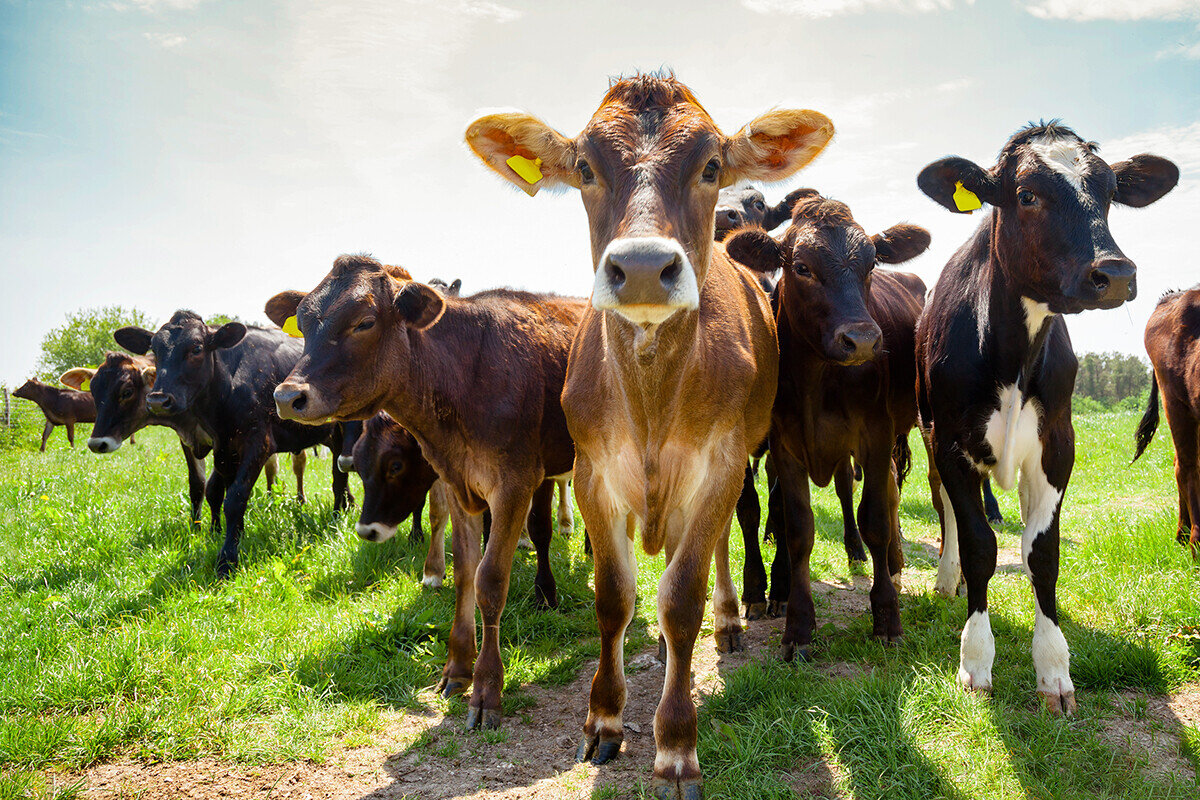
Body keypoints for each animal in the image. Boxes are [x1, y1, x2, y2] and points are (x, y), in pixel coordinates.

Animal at [113, 312, 351, 577]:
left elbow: (235, 498)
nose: (157, 400)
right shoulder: (224, 448)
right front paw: (237, 534)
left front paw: (227, 559)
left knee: (339, 477)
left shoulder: (259, 443)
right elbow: (224, 492)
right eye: (154, 349)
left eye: (196, 348)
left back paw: (336, 517)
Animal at [266, 259, 586, 732]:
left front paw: (487, 688)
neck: (464, 376)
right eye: (303, 325)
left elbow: (492, 580)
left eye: (364, 322)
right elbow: (465, 572)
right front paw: (457, 669)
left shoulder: (516, 483)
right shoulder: (457, 483)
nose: (288, 396)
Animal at [464, 73, 832, 797]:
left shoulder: (720, 466)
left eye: (712, 165)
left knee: (714, 554)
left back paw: (728, 619)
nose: (639, 268)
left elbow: (682, 597)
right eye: (584, 168)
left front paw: (675, 745)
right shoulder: (592, 473)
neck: (650, 396)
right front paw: (604, 720)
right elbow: (614, 598)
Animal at [725, 191, 930, 656]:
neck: (816, 381)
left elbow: (874, 517)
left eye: (871, 264)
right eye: (802, 267)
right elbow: (796, 528)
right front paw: (798, 626)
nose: (864, 341)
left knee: (892, 493)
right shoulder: (784, 446)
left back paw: (898, 565)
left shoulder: (875, 434)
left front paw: (886, 617)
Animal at [915, 121, 1177, 714]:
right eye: (1027, 194)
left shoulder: (1058, 444)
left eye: (1110, 193)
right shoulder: (952, 443)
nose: (1115, 272)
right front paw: (976, 660)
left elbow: (1042, 553)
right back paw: (947, 580)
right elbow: (981, 545)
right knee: (948, 514)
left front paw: (1054, 671)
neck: (1014, 354)